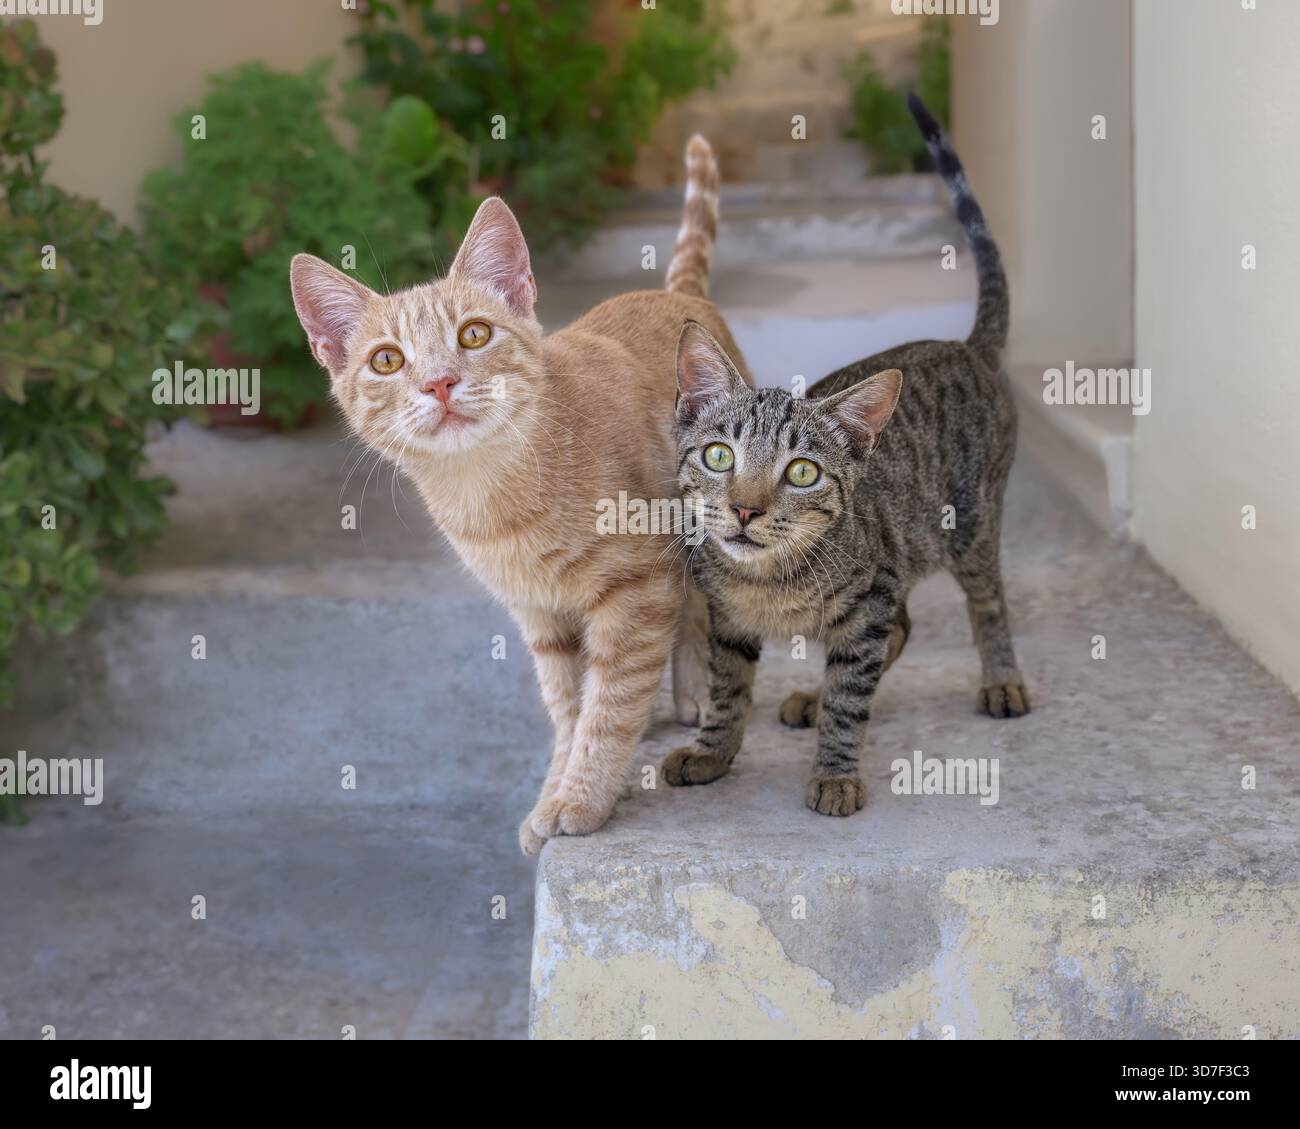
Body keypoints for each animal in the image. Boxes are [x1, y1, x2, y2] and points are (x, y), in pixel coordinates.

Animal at [289, 136, 750, 853]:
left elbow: (608, 707)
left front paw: (583, 796)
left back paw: (694, 685)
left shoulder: (639, 587)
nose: (440, 383)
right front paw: (555, 787)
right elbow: (568, 710)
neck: (493, 497)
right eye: (387, 360)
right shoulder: (540, 617)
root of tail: (670, 291)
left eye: (474, 334)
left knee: (700, 607)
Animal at [662, 94, 1027, 816]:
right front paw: (713, 751)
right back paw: (808, 695)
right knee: (905, 626)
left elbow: (851, 695)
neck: (767, 581)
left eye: (801, 471)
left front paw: (834, 770)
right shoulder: (727, 619)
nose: (745, 510)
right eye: (719, 457)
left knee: (987, 604)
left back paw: (1001, 677)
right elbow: (727, 689)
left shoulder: (869, 598)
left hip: (970, 527)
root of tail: (967, 345)